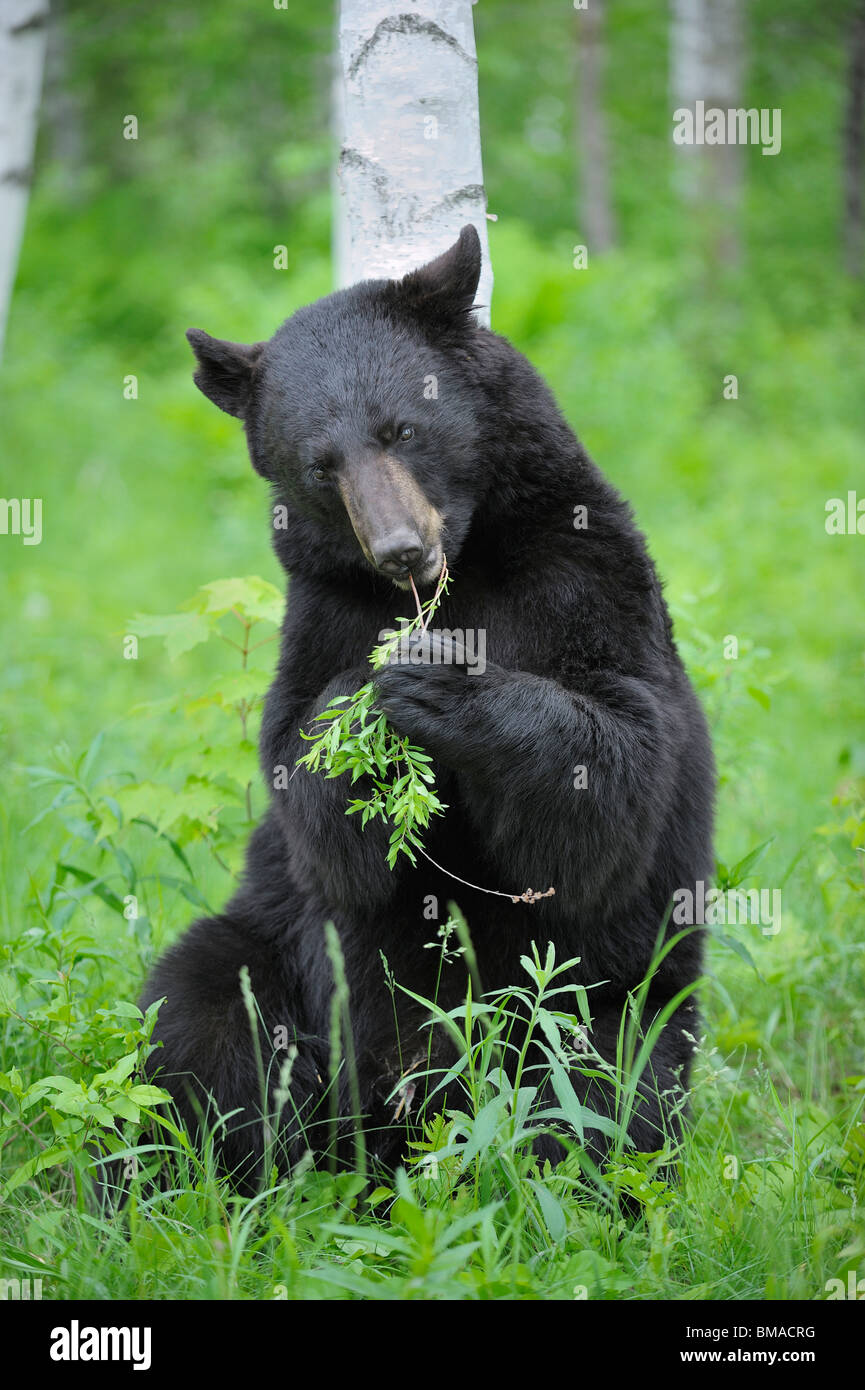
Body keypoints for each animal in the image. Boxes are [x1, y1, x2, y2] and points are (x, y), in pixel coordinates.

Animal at [139, 224, 715, 1193]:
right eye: (320, 464)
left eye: (401, 429)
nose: (401, 549)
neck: (463, 572)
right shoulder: (322, 619)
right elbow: (317, 809)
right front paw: (363, 708)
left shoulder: (585, 579)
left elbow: (610, 785)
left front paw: (439, 683)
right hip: (264, 953)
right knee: (198, 1041)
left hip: (613, 999)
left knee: (602, 1093)